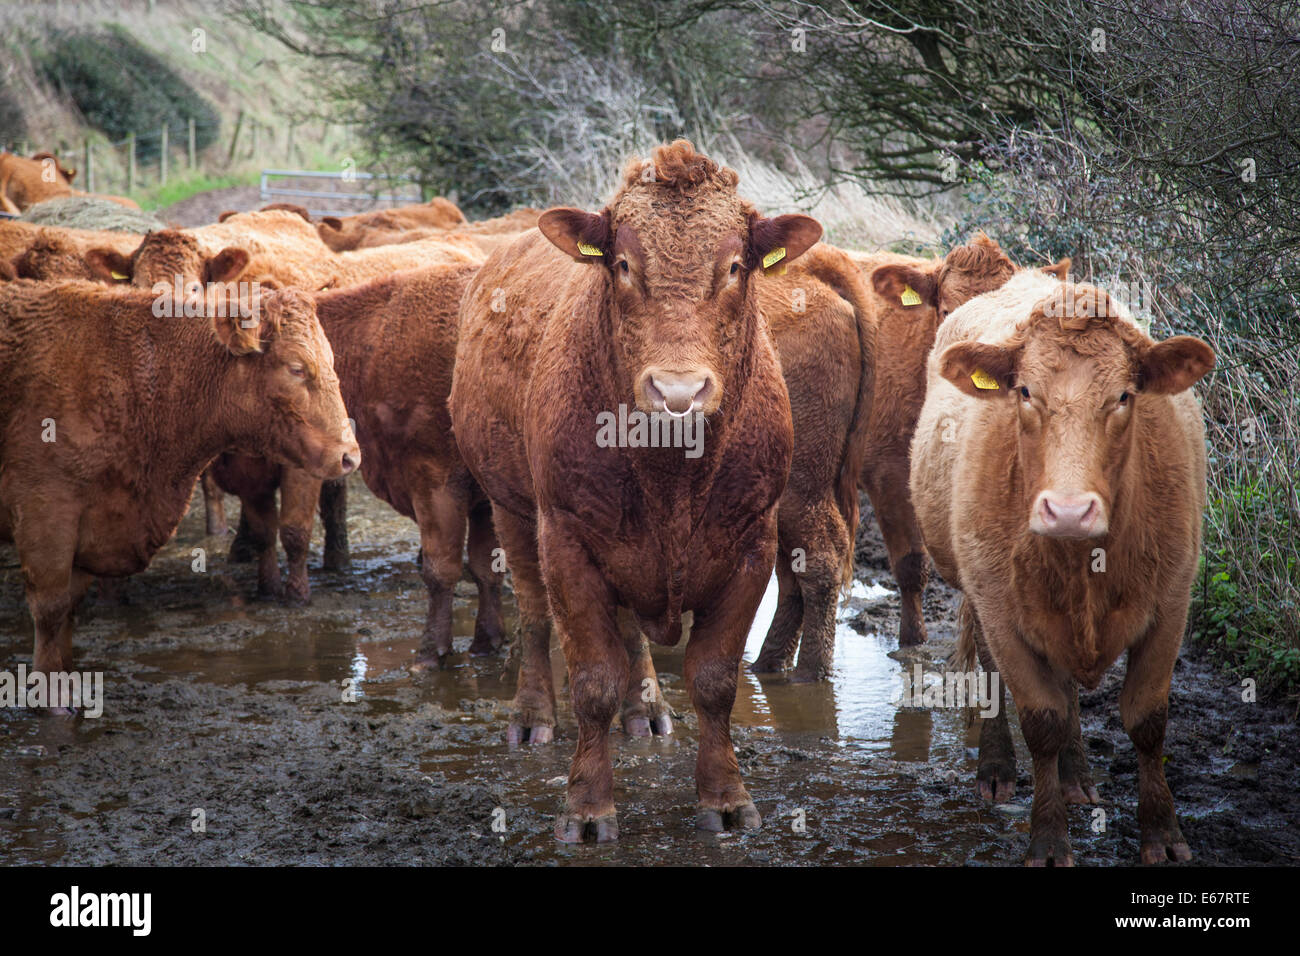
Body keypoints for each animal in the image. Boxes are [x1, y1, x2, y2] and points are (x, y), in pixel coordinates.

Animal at [0, 278, 359, 697]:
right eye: (297, 367)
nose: (350, 456)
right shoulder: (45, 510)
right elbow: (51, 610)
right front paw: (55, 699)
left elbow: (68, 611)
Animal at [449, 140, 819, 841]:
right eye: (622, 264)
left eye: (736, 266)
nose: (678, 391)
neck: (672, 477)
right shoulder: (567, 541)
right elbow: (592, 681)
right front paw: (588, 807)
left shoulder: (752, 544)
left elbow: (713, 682)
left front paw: (726, 798)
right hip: (512, 508)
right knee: (534, 618)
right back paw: (532, 717)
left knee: (630, 633)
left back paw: (644, 709)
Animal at [909, 268, 1214, 865]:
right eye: (1026, 392)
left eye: (1123, 396)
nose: (1069, 510)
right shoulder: (1003, 613)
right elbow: (1041, 720)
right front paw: (1048, 839)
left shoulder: (1171, 604)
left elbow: (1147, 720)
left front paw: (1162, 833)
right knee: (992, 671)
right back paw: (997, 769)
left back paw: (1078, 776)